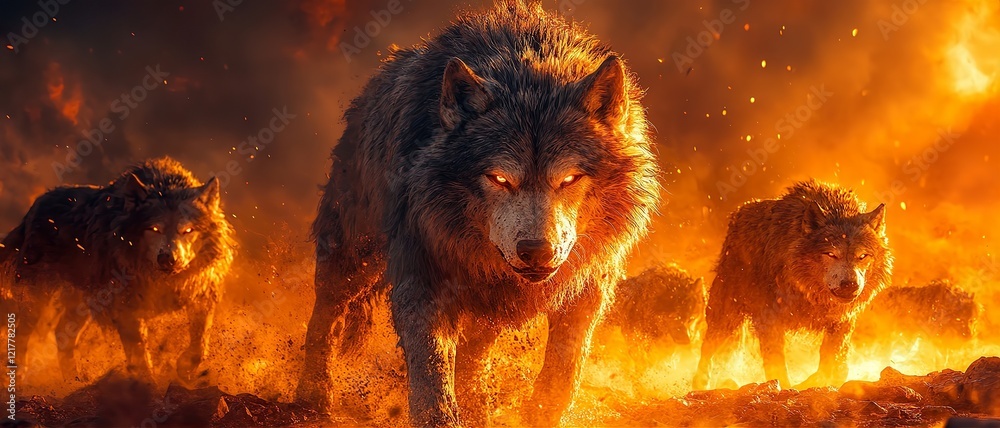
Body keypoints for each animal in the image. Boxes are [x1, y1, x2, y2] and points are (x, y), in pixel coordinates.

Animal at [0, 157, 234, 383]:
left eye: (187, 230)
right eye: (154, 229)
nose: (167, 258)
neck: (162, 281)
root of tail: (35, 206)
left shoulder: (201, 297)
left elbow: (199, 347)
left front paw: (184, 370)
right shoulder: (126, 308)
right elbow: (139, 356)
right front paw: (148, 386)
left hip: (83, 303)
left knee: (61, 334)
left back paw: (73, 382)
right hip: (37, 299)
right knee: (21, 333)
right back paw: (21, 377)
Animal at [294, 2, 659, 426]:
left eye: (569, 178)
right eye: (499, 178)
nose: (536, 251)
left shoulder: (588, 284)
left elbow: (563, 374)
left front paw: (536, 413)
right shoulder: (422, 276)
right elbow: (431, 374)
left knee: (476, 354)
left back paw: (480, 408)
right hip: (354, 255)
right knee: (326, 316)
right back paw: (312, 397)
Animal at [692, 180, 892, 391]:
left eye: (862, 256)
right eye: (831, 254)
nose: (849, 285)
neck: (808, 294)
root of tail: (738, 212)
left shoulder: (842, 322)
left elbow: (834, 365)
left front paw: (817, 381)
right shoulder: (769, 319)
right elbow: (775, 361)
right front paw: (786, 386)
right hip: (724, 314)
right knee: (708, 347)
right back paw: (700, 383)